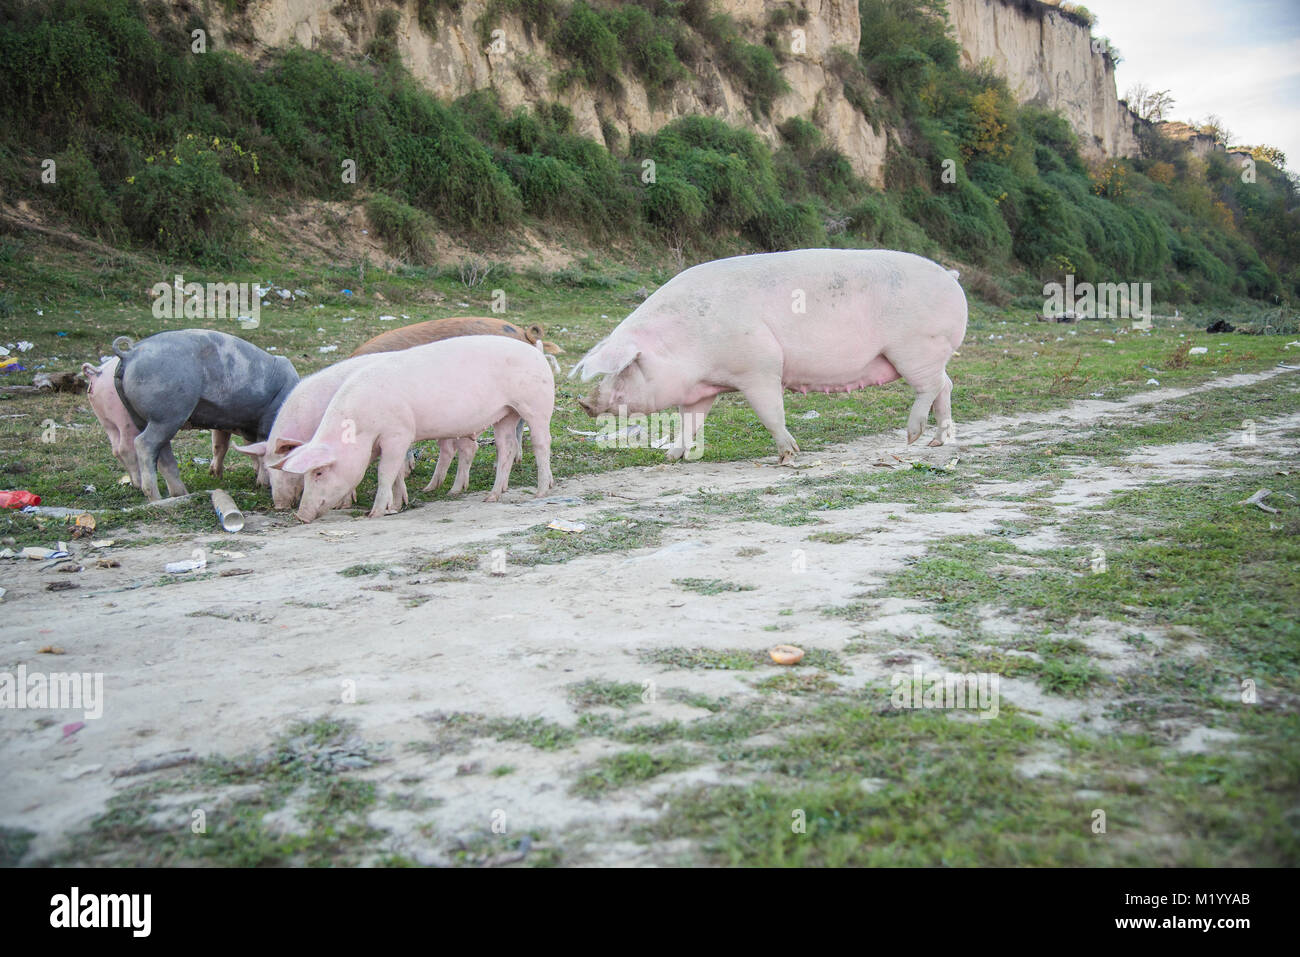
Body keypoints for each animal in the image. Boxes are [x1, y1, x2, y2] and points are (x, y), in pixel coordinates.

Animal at [81, 357, 235, 492]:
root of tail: (97, 372)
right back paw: (139, 484)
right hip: (124, 419)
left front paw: (216, 476)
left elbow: (220, 445)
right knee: (126, 447)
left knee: (116, 448)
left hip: (106, 421)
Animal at [112, 330, 299, 500]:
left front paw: (216, 475)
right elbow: (262, 452)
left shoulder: (224, 421)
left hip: (141, 416)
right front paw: (263, 484)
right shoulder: (268, 421)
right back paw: (157, 498)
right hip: (167, 414)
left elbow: (221, 445)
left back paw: (182, 494)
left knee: (163, 453)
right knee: (143, 444)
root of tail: (130, 354)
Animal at [232, 354, 477, 509]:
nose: (280, 506)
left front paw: (346, 504)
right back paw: (433, 488)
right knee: (453, 449)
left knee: (466, 448)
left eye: (288, 469)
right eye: (267, 469)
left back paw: (454, 490)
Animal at [276, 337, 555, 522]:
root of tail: (537, 352)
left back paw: (540, 492)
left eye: (319, 472)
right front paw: (398, 505)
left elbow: (385, 472)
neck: (360, 428)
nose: (300, 515)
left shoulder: (397, 433)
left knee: (541, 443)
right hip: (505, 414)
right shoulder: (397, 439)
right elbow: (398, 472)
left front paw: (375, 513)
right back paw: (491, 497)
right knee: (505, 449)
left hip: (535, 405)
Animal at [572, 249, 967, 462]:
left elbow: (770, 412)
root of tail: (950, 276)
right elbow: (689, 424)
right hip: (931, 352)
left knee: (930, 387)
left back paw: (912, 437)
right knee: (946, 385)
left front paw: (789, 454)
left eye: (625, 368)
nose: (584, 402)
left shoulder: (759, 367)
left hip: (916, 346)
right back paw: (938, 441)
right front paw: (670, 456)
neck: (683, 344)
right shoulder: (699, 391)